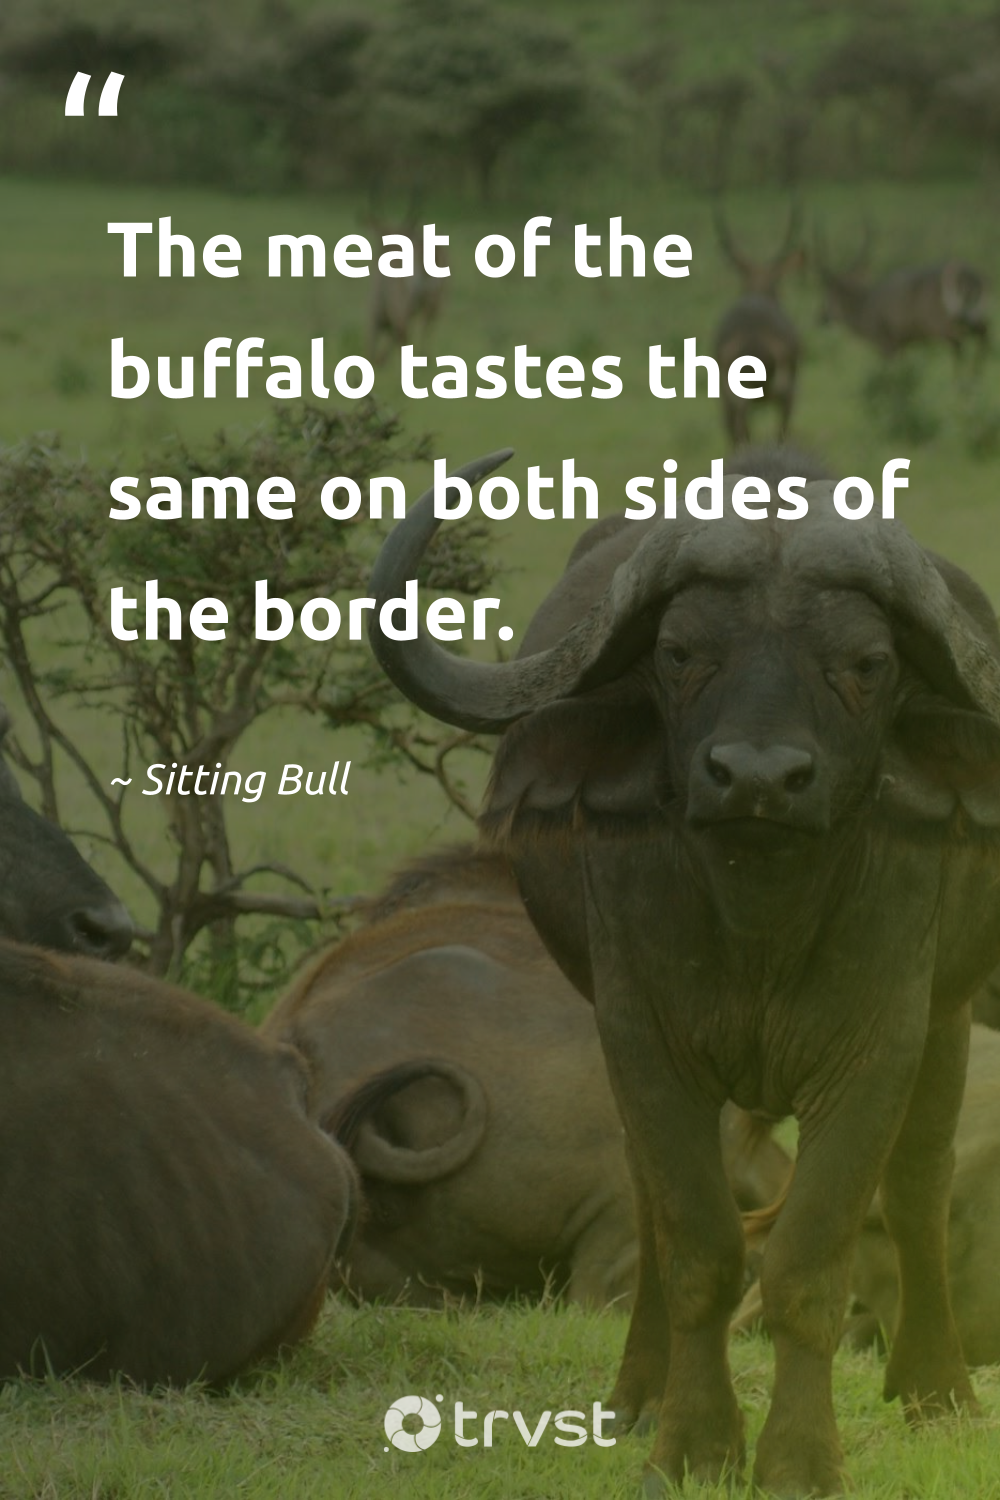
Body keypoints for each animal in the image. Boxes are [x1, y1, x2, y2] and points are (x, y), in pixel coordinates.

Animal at [369, 450, 1000, 1495]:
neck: (760, 919)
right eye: (678, 651)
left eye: (868, 664)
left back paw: (935, 1390)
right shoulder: (642, 1038)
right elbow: (699, 1243)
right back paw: (638, 1393)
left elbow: (810, 1259)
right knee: (652, 1203)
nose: (756, 779)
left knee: (917, 1184)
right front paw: (695, 1442)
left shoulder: (874, 1050)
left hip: (949, 1016)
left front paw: (798, 1459)